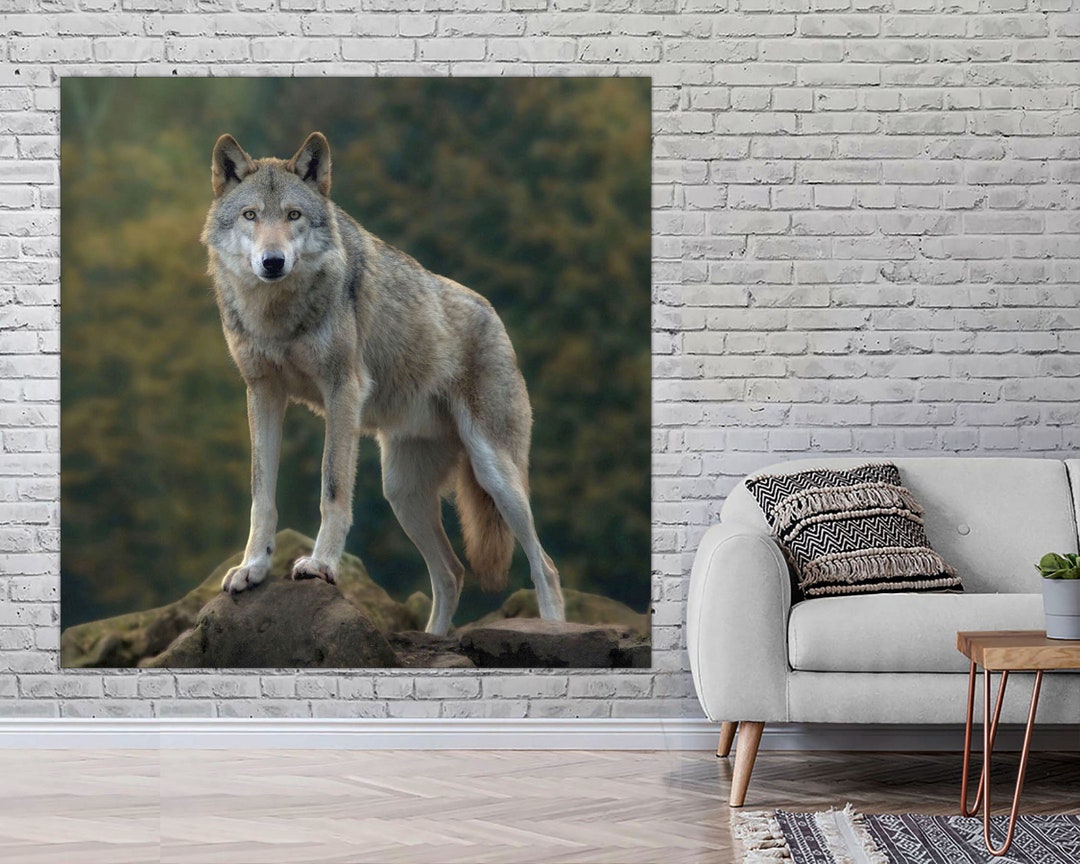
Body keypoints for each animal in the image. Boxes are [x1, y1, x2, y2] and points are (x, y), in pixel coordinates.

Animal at [199, 132, 565, 636]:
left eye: (293, 215)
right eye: (251, 215)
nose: (272, 262)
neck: (277, 315)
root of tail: (495, 317)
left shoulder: (343, 391)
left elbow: (332, 488)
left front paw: (320, 565)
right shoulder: (262, 393)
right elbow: (262, 496)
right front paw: (253, 568)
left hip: (495, 474)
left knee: (544, 566)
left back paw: (554, 629)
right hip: (402, 492)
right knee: (451, 573)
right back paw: (432, 637)